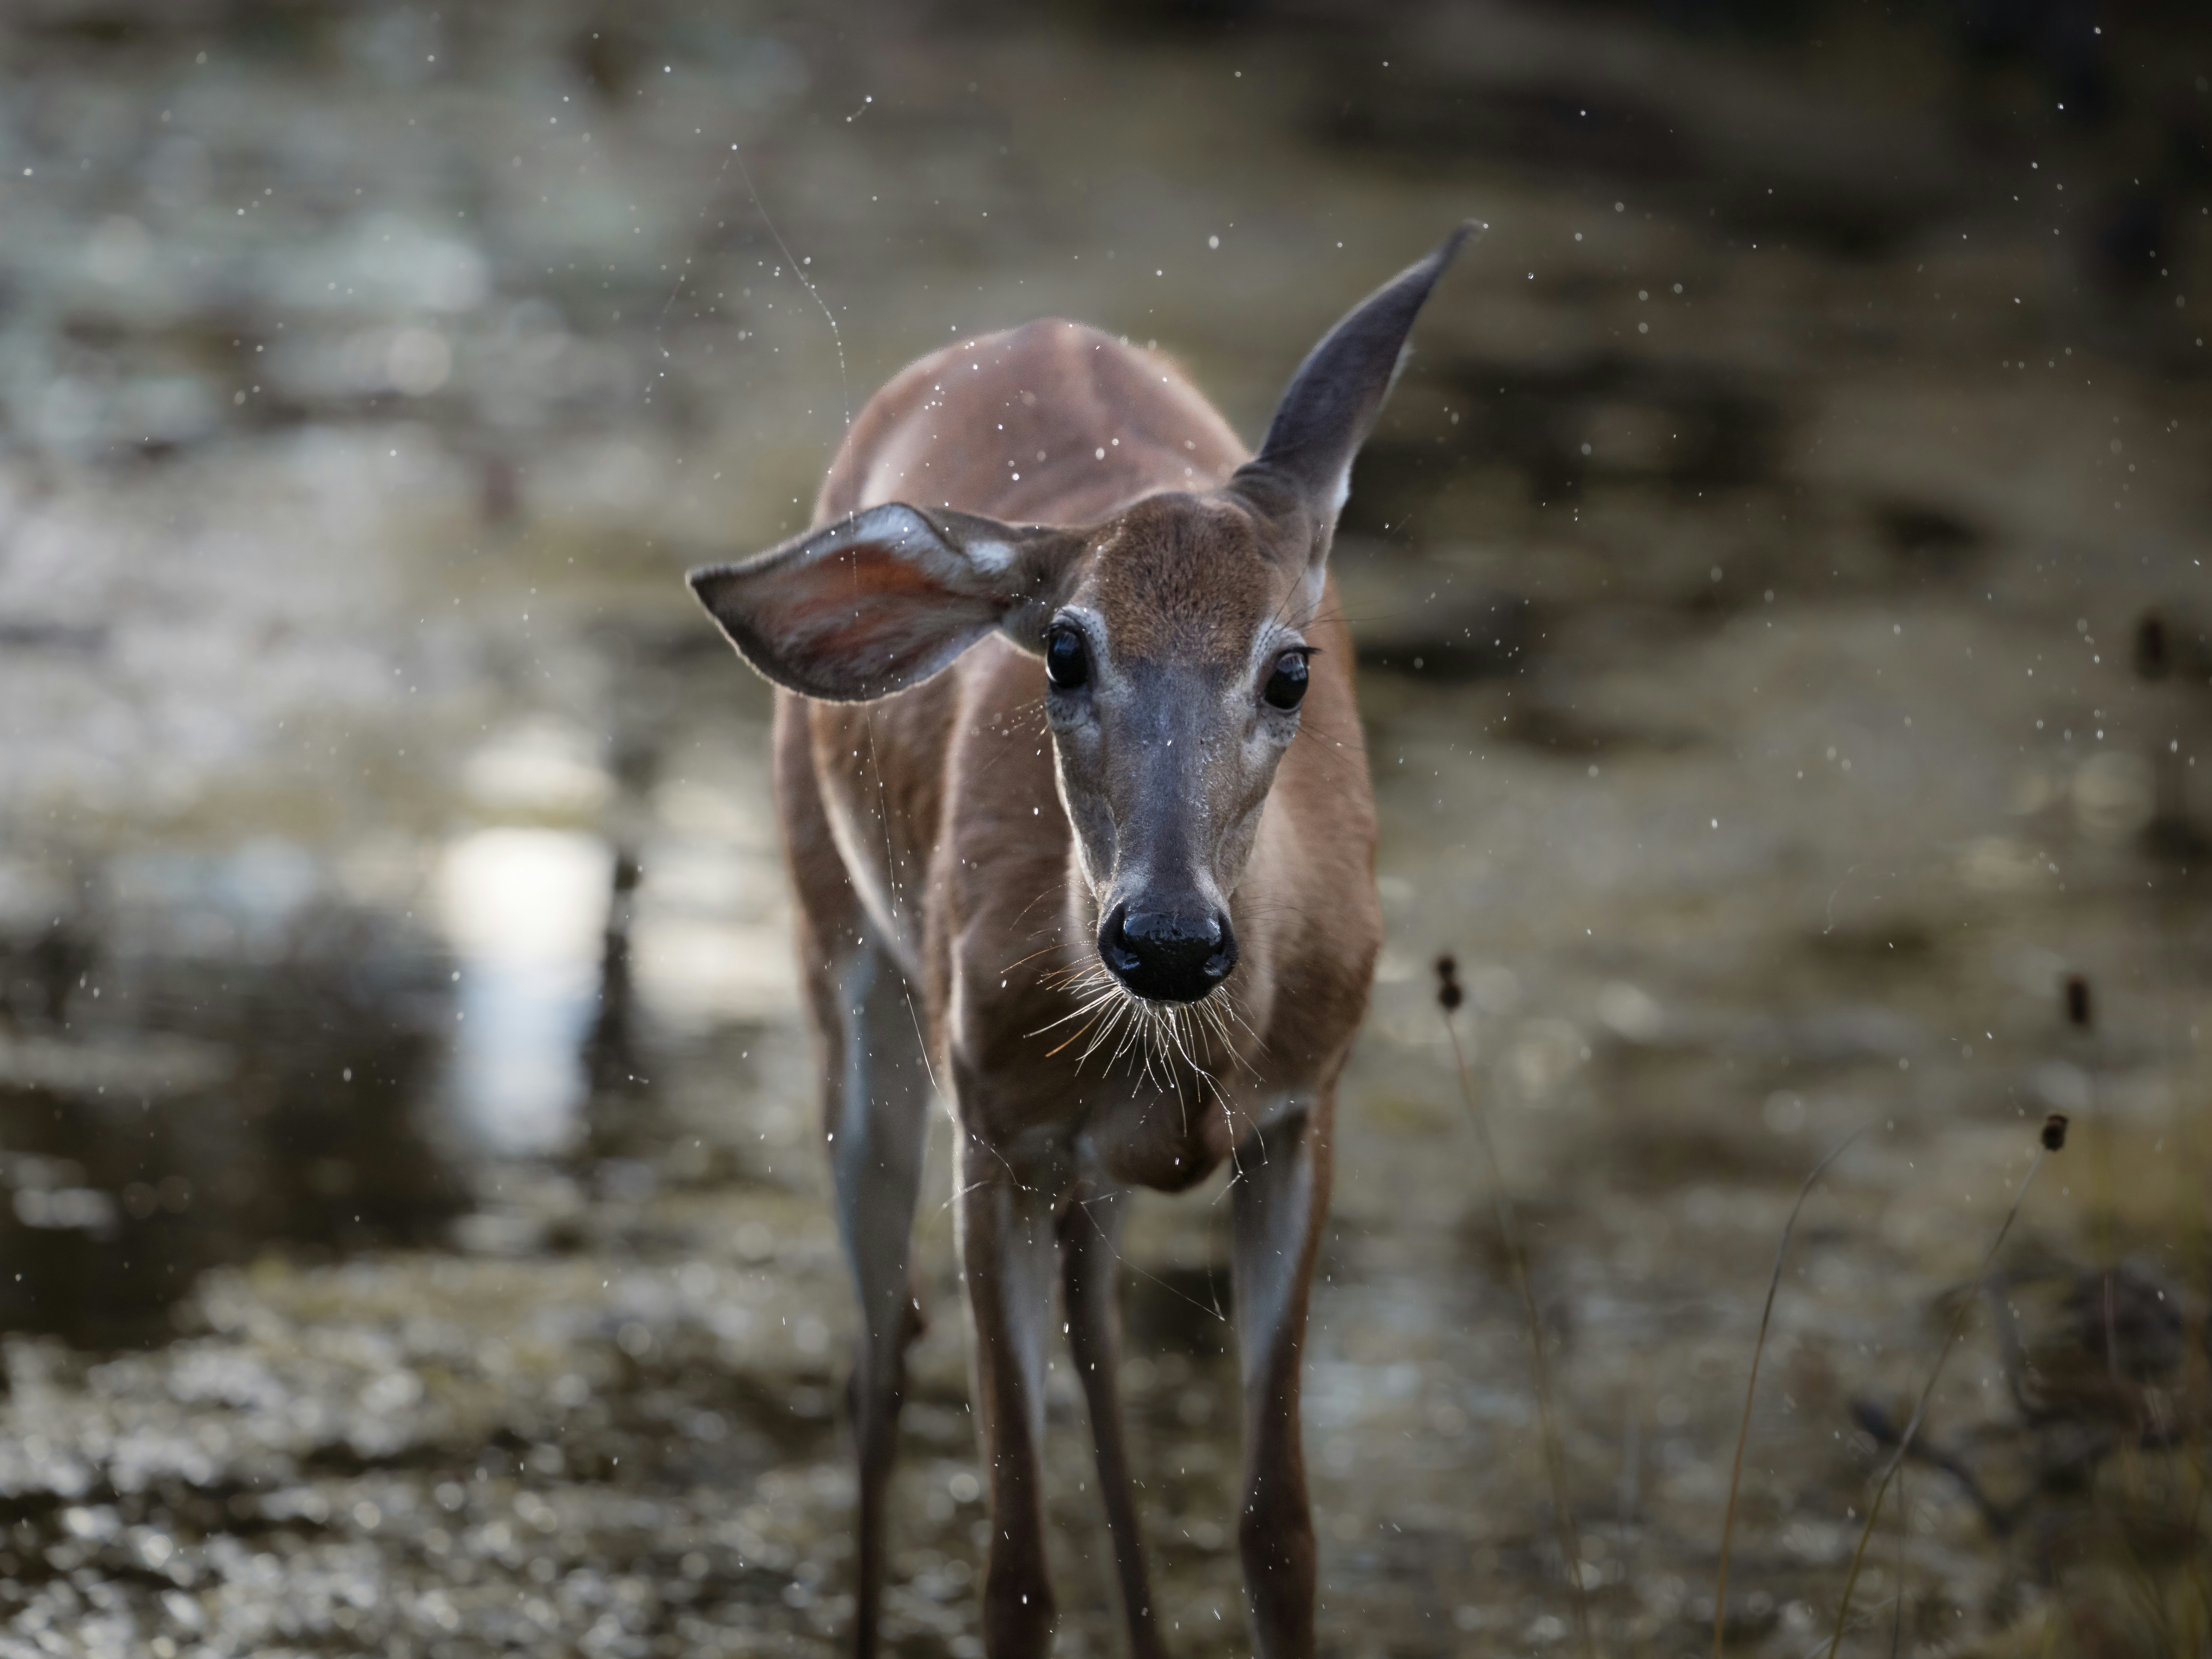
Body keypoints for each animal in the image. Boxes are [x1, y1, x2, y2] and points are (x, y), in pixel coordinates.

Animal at [687, 223, 1474, 1659]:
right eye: (1062, 650)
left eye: (1290, 668)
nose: (1164, 935)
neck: (1186, 1054)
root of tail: (1026, 329)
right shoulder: (991, 1121)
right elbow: (1012, 1569)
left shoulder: (1302, 1113)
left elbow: (1280, 1533)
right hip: (845, 956)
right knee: (878, 1357)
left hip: (1086, 1163)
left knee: (1092, 1327)